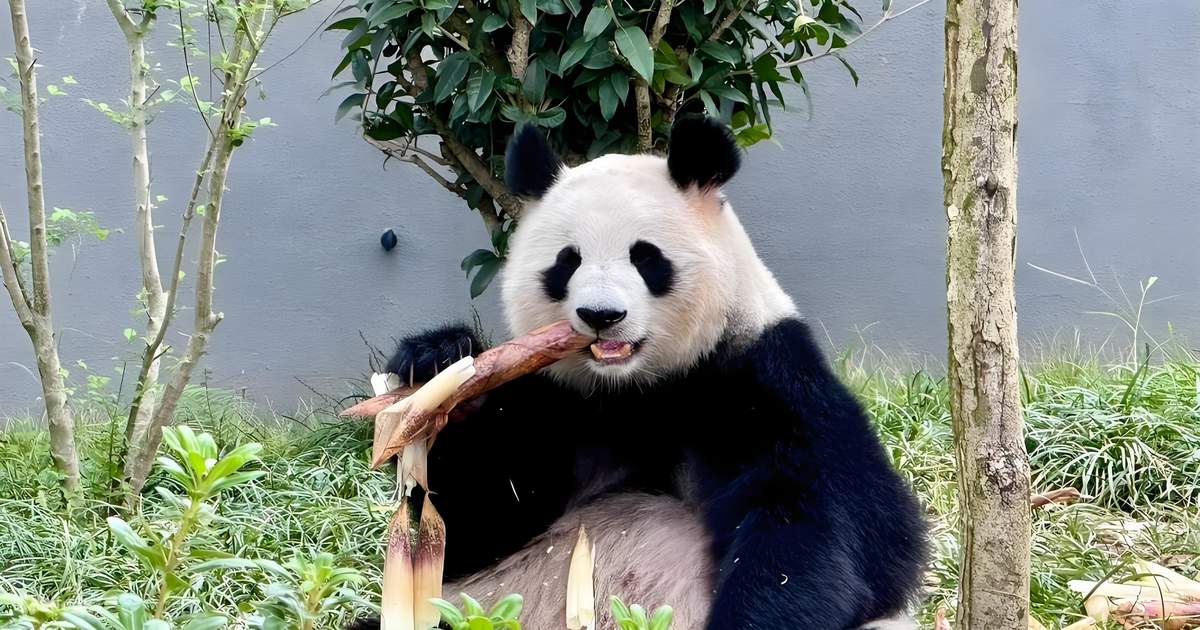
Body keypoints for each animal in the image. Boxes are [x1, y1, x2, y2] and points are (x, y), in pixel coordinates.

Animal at [359, 116, 927, 630]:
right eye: (567, 261)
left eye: (646, 257)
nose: (601, 315)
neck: (636, 387)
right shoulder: (560, 402)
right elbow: (473, 532)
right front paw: (441, 367)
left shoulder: (763, 379)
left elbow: (826, 529)